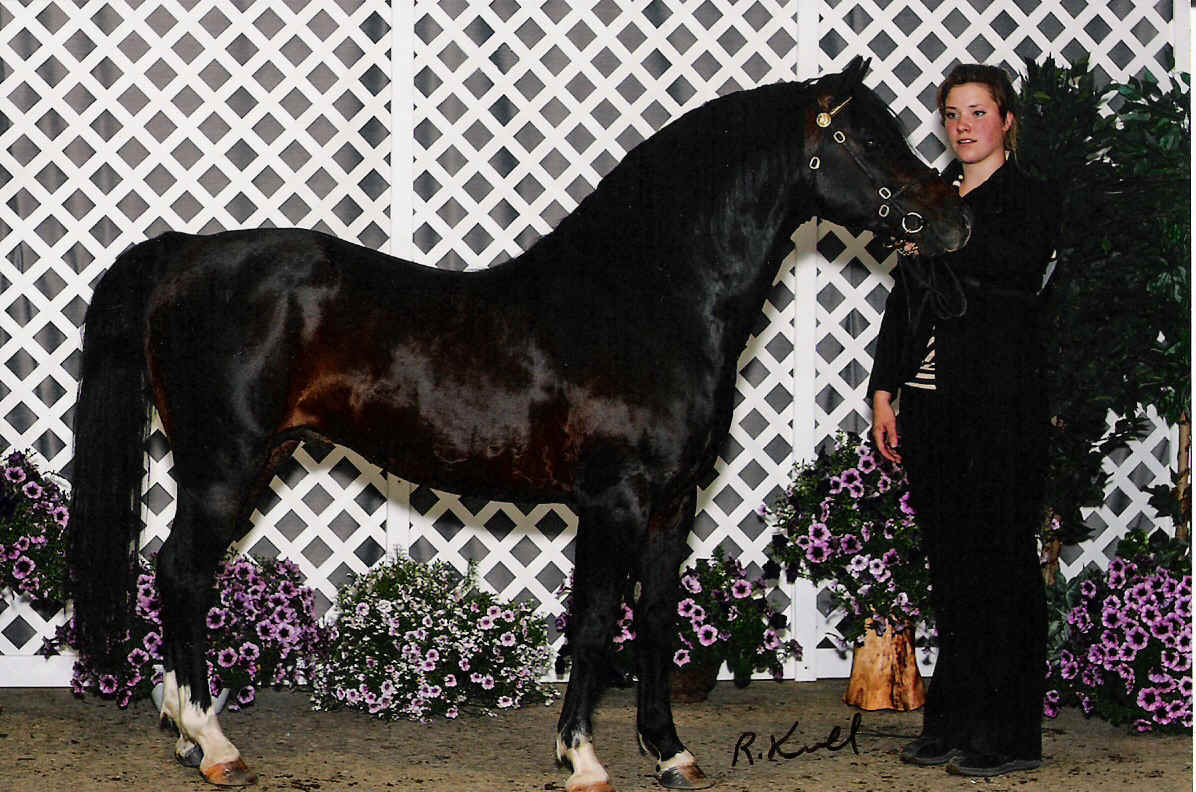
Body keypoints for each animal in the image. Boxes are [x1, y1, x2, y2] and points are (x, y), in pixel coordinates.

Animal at [66, 56, 969, 791]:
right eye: (865, 139)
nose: (952, 220)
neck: (645, 296)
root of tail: (184, 254)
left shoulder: (673, 505)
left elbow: (657, 622)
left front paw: (670, 753)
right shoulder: (614, 500)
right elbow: (597, 623)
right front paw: (584, 759)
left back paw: (188, 733)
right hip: (225, 466)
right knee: (181, 574)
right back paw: (212, 743)